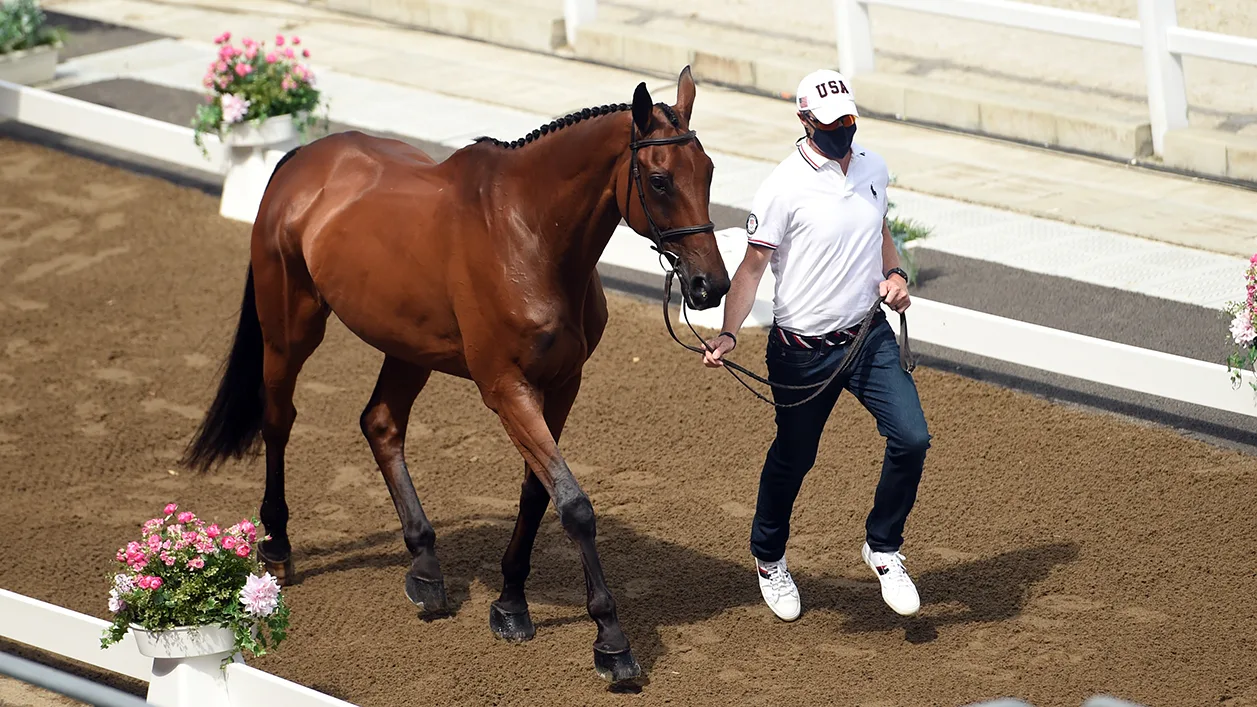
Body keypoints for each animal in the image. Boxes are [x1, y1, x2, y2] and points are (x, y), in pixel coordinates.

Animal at [180, 66, 731, 686]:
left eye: (709, 171)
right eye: (659, 181)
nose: (711, 285)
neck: (531, 236)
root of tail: (302, 160)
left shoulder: (562, 385)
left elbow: (537, 495)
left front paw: (511, 604)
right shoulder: (506, 389)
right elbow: (574, 505)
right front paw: (611, 641)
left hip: (408, 347)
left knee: (381, 424)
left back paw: (425, 567)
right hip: (290, 330)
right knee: (279, 419)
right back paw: (277, 545)